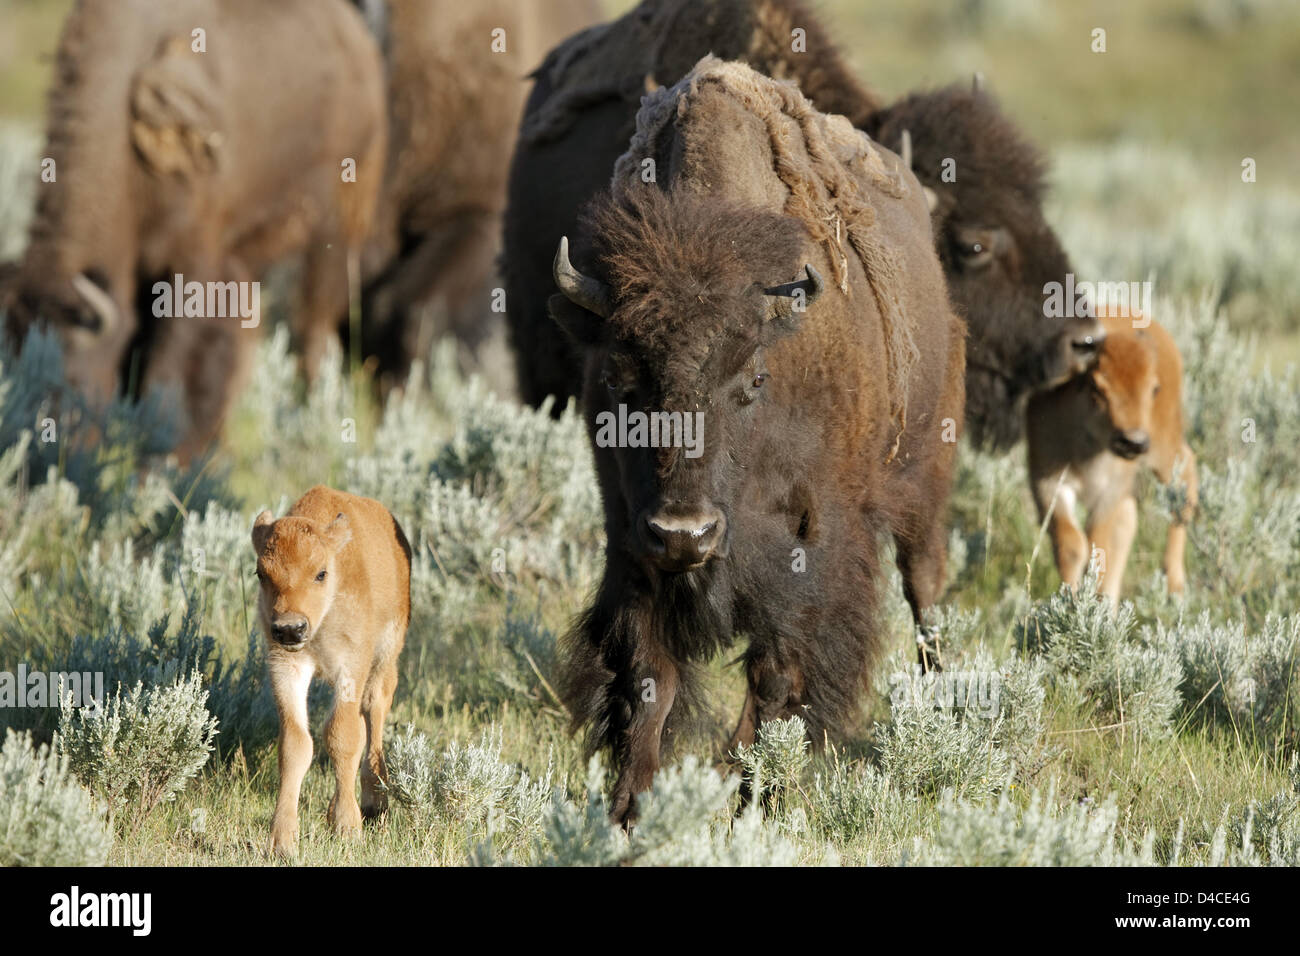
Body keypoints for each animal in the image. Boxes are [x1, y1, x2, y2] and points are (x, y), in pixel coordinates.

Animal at [1, 0, 388, 461]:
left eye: (68, 380)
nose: (39, 450)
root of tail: (358, 42)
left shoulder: (192, 262)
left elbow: (169, 363)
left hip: (336, 230)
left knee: (313, 327)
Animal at [252, 485, 412, 858]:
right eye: (261, 574)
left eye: (321, 573)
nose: (290, 628)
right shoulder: (287, 666)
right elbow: (296, 744)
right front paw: (282, 840)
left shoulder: (351, 665)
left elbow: (343, 736)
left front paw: (348, 828)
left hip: (386, 655)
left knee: (374, 713)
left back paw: (373, 804)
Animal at [549, 59, 966, 823]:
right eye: (619, 380)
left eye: (751, 380)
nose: (686, 532)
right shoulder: (631, 541)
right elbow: (646, 675)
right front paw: (629, 809)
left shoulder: (813, 542)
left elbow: (779, 674)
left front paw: (753, 795)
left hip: (925, 475)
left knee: (925, 591)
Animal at [1026, 309, 1197, 603]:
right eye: (1095, 386)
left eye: (1154, 388)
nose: (1133, 442)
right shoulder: (1047, 483)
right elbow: (1071, 544)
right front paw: (1071, 598)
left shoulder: (1108, 491)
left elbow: (1098, 543)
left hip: (1163, 448)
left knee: (1185, 478)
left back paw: (1174, 583)